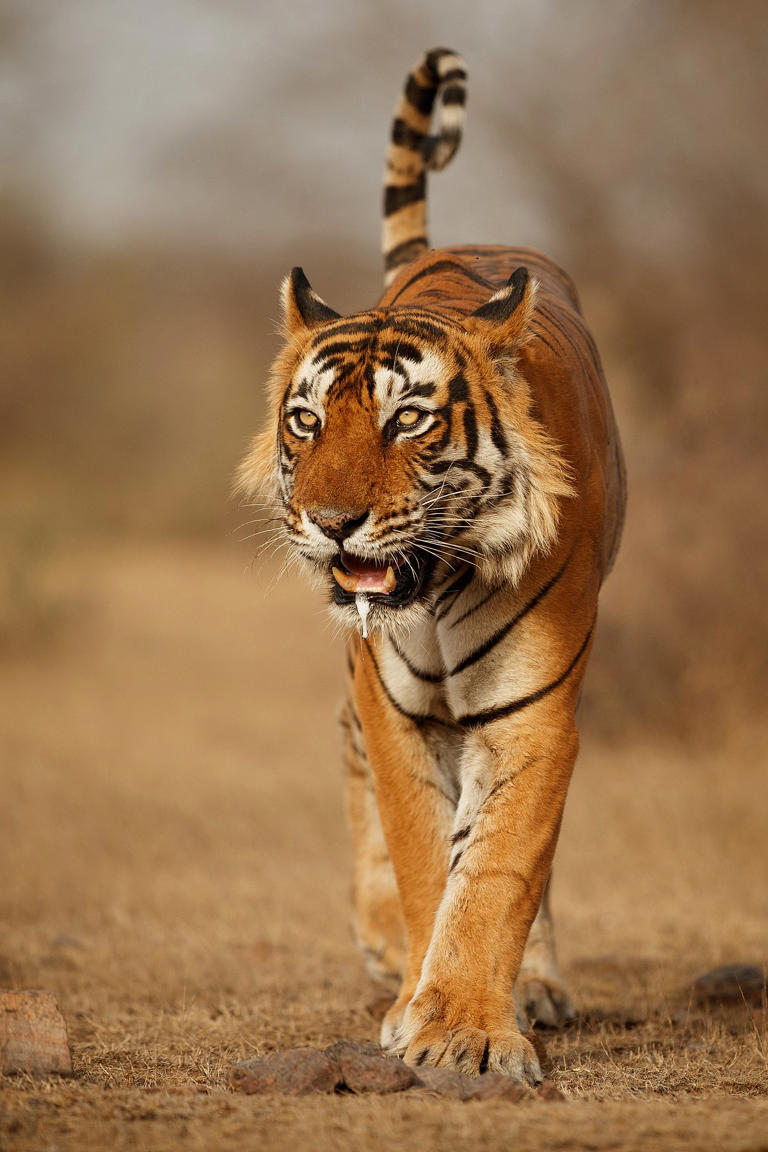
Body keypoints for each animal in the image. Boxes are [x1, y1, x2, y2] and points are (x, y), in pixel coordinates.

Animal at [238, 47, 626, 1083]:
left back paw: (533, 984)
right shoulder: (392, 705)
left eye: (407, 420)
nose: (331, 522)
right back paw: (385, 948)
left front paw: (465, 1029)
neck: (441, 584)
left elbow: (496, 868)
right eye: (307, 421)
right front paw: (423, 997)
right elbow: (422, 854)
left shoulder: (534, 713)